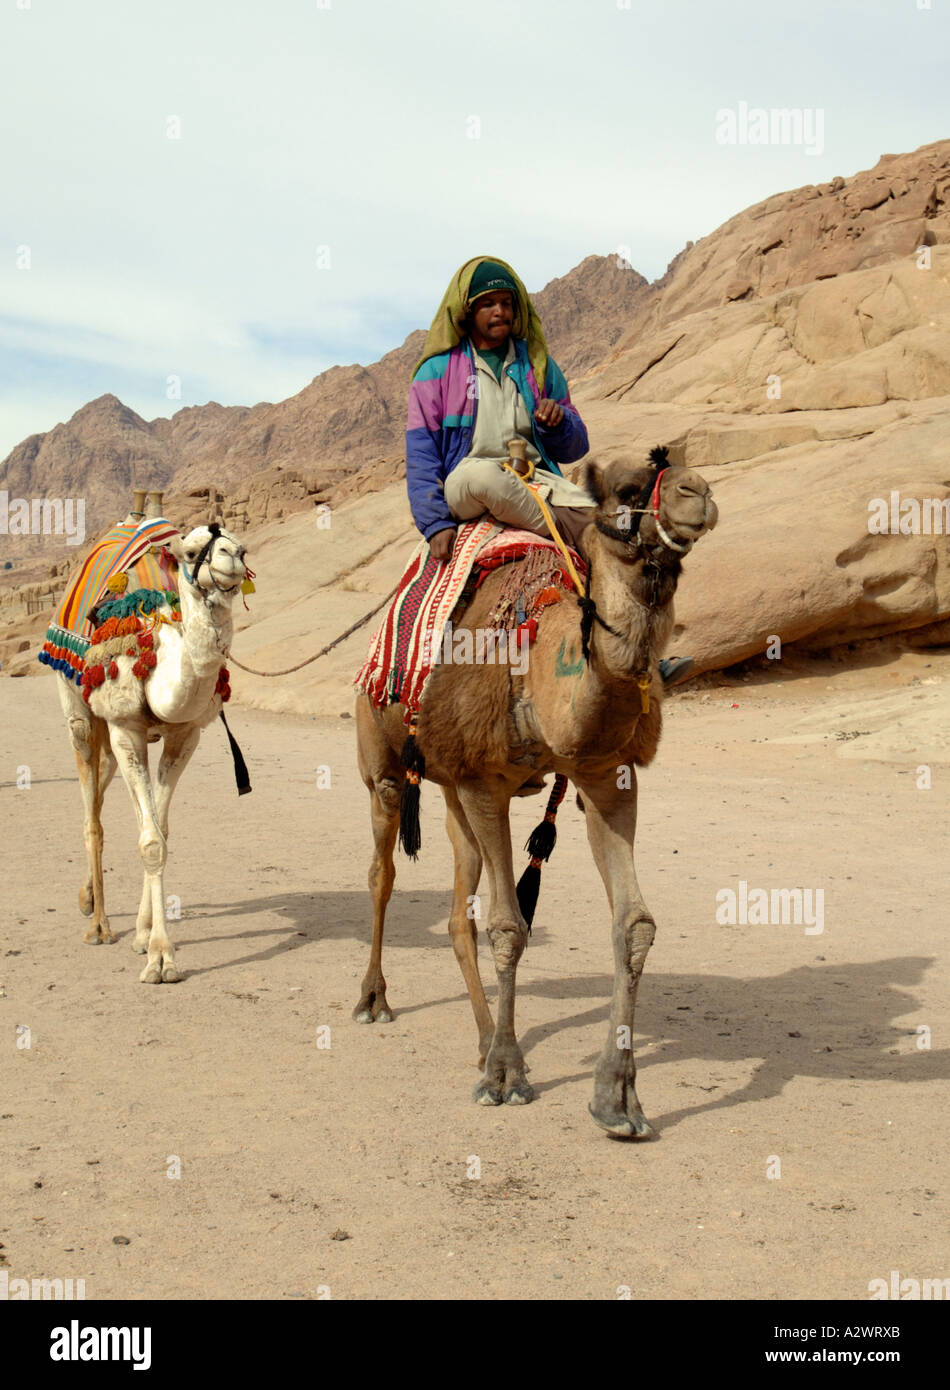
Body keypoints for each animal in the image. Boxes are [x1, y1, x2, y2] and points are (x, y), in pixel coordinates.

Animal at [55, 523, 248, 983]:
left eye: (240, 544)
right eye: (193, 551)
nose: (232, 555)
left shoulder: (185, 735)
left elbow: (160, 830)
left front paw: (146, 937)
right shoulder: (127, 728)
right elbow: (150, 842)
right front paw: (161, 958)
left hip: (120, 740)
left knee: (115, 787)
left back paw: (91, 900)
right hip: (81, 716)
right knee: (93, 814)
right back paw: (99, 926)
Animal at [354, 448, 717, 1137]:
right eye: (628, 488)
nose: (700, 491)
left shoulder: (605, 775)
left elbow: (633, 925)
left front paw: (618, 1099)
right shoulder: (484, 782)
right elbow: (508, 926)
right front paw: (506, 1078)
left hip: (450, 790)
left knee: (456, 911)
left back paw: (481, 1037)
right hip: (383, 763)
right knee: (382, 874)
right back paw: (373, 999)